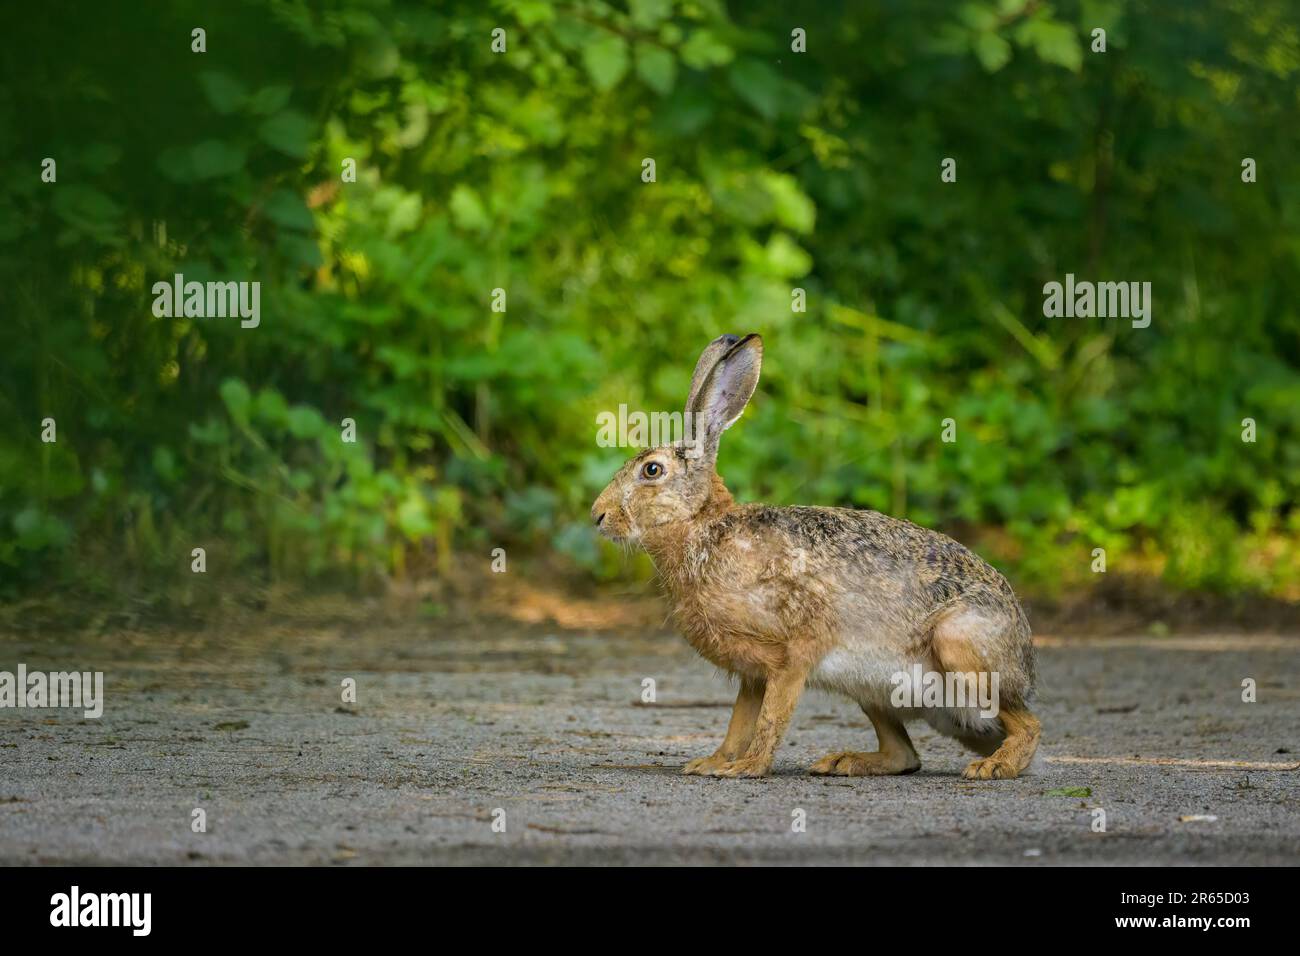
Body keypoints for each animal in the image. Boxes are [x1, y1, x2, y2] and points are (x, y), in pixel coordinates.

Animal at [591, 333, 1040, 780]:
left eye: (651, 470)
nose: (598, 515)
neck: (703, 527)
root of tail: (1025, 665)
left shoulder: (794, 653)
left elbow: (771, 717)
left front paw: (747, 768)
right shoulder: (753, 672)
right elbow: (740, 720)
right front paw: (712, 763)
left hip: (961, 646)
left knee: (1028, 724)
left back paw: (993, 766)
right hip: (869, 688)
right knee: (904, 756)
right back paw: (843, 762)